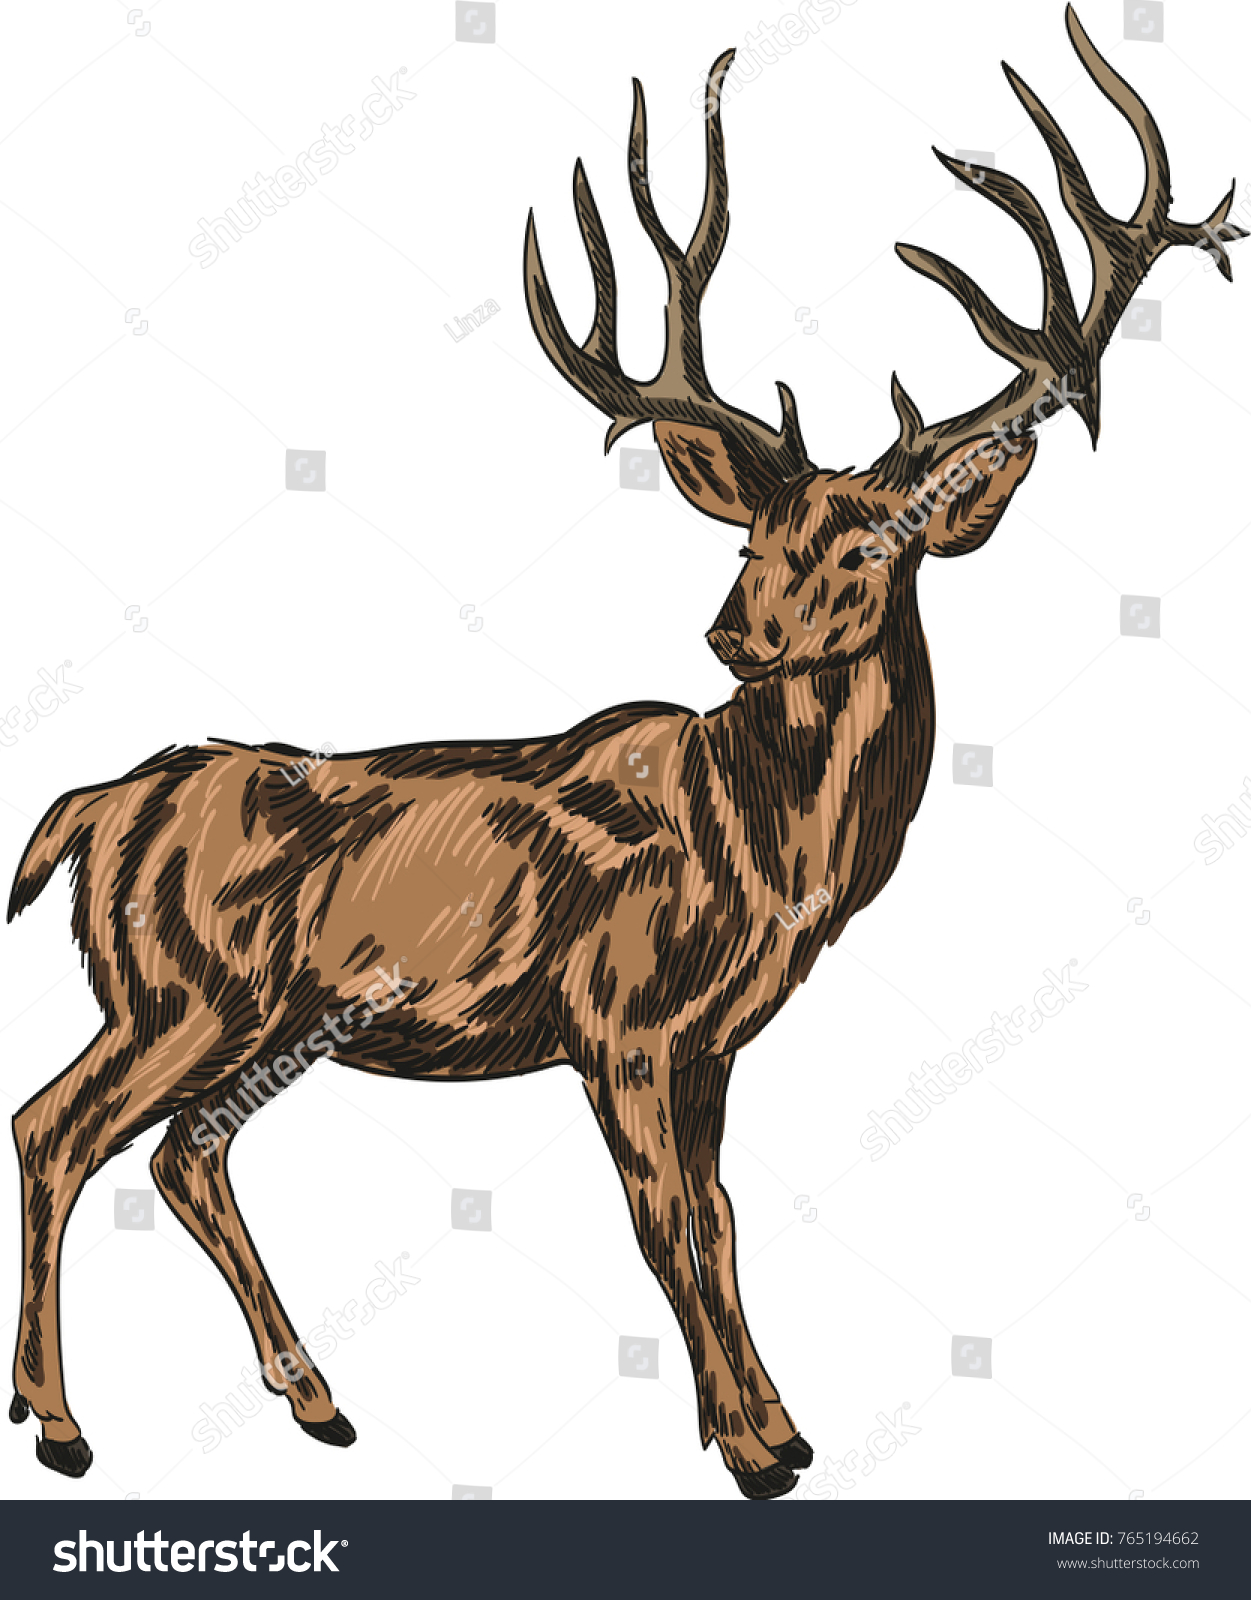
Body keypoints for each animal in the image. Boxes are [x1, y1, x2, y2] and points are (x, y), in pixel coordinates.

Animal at [6, 7, 1244, 1499]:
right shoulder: (622, 1015)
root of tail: (92, 809)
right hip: (181, 988)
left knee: (180, 1149)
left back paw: (314, 1402)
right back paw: (63, 1424)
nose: (729, 631)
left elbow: (716, 1212)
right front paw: (753, 1448)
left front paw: (776, 1425)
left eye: (863, 546)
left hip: (248, 1012)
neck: (773, 856)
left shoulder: (708, 1040)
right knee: (58, 1127)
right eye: (751, 535)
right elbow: (670, 1227)